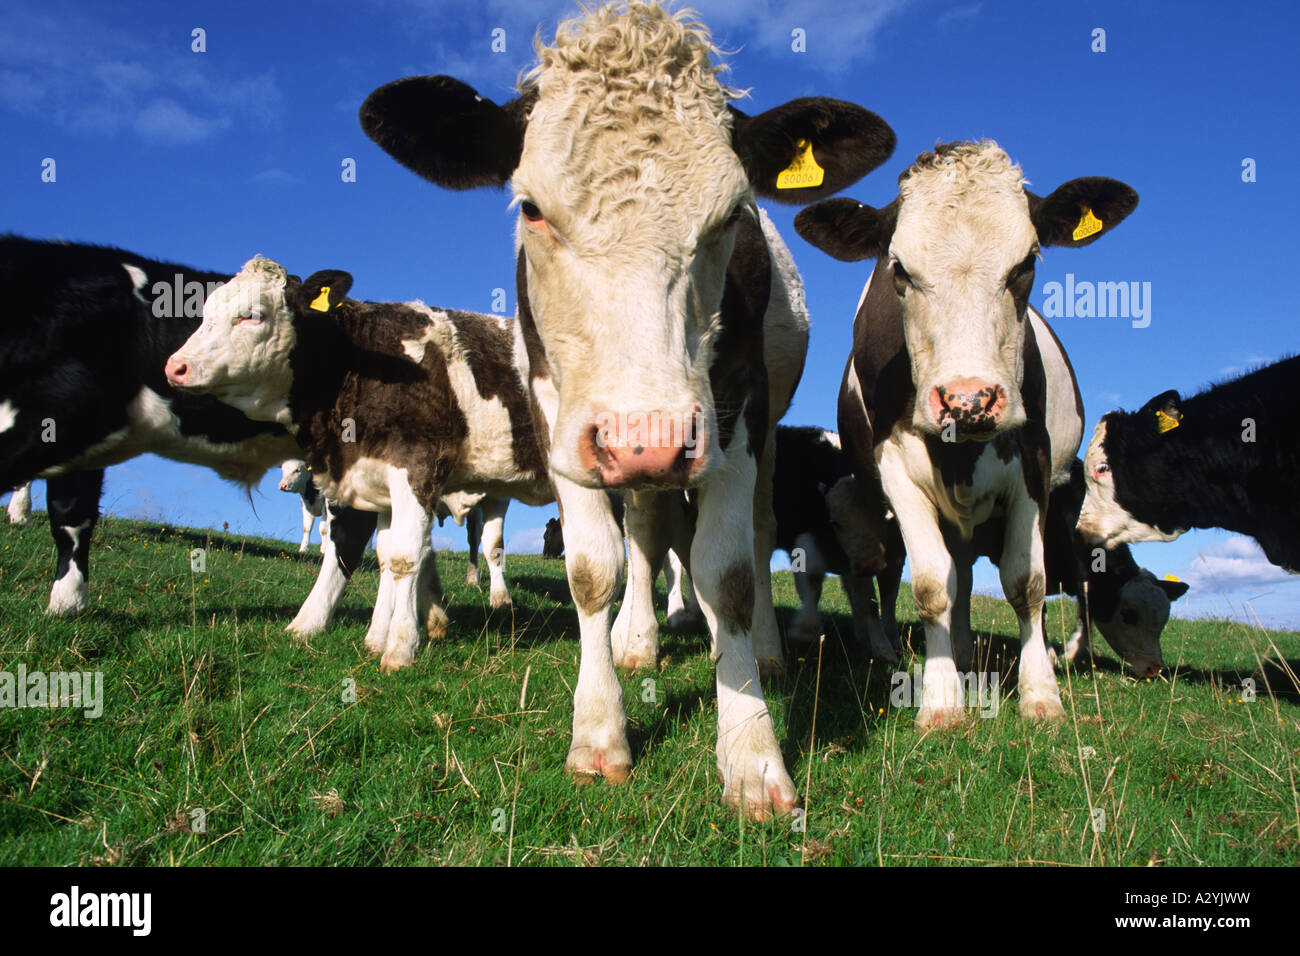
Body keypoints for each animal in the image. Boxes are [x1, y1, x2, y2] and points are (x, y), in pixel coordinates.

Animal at [165, 257, 552, 670]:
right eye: (205, 312)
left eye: (252, 315)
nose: (175, 366)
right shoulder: (374, 480)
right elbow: (381, 555)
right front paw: (365, 636)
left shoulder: (418, 467)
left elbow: (404, 556)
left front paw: (399, 648)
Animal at [359, 2, 896, 814]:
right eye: (531, 208)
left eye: (732, 215)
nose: (648, 439)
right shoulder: (558, 413)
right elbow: (594, 569)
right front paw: (599, 732)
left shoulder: (734, 412)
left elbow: (728, 572)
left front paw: (752, 757)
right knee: (645, 532)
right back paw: (637, 639)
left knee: (749, 532)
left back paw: (761, 649)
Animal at [795, 140, 1138, 726]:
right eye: (900, 270)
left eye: (1025, 265)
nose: (968, 400)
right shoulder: (894, 465)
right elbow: (934, 585)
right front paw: (940, 699)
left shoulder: (1035, 463)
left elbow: (1027, 583)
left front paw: (1041, 693)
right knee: (947, 572)